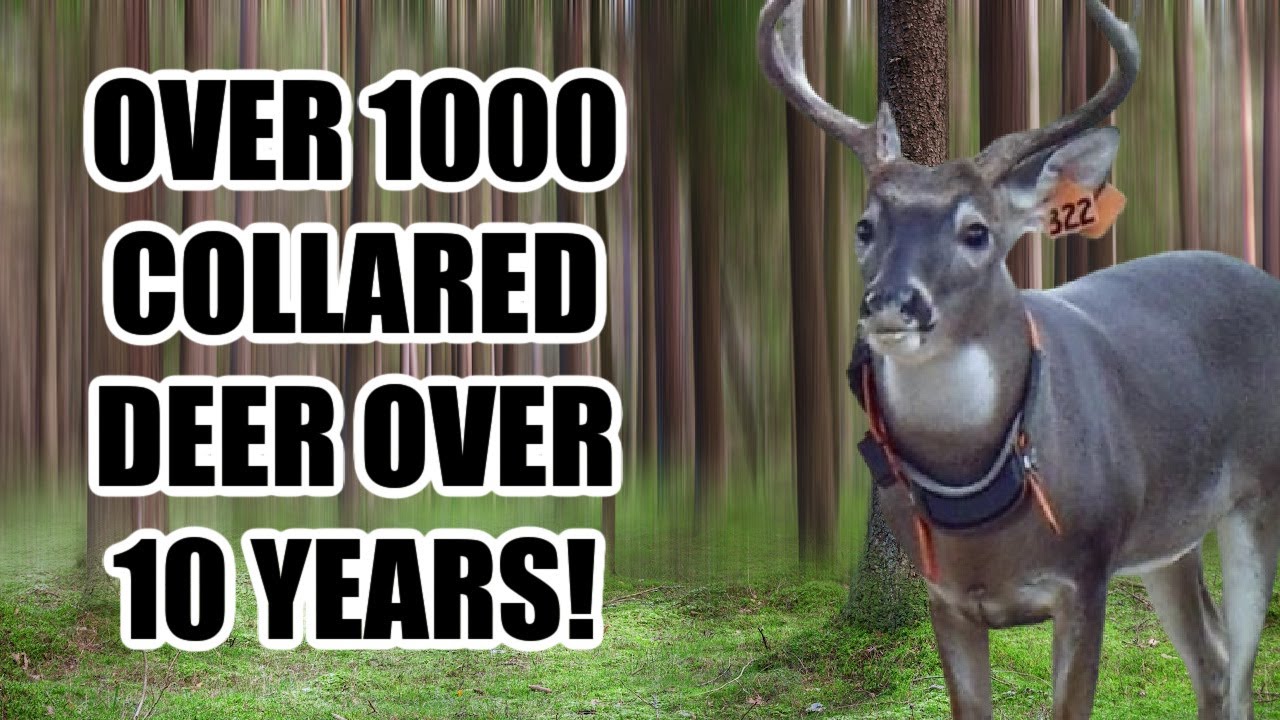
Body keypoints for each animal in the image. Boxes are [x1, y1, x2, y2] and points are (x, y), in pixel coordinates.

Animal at [759, 1, 1280, 718]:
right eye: (865, 227)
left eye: (976, 231)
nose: (891, 303)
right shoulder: (945, 596)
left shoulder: (1085, 573)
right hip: (1167, 535)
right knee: (1213, 658)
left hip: (1258, 494)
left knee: (1242, 666)